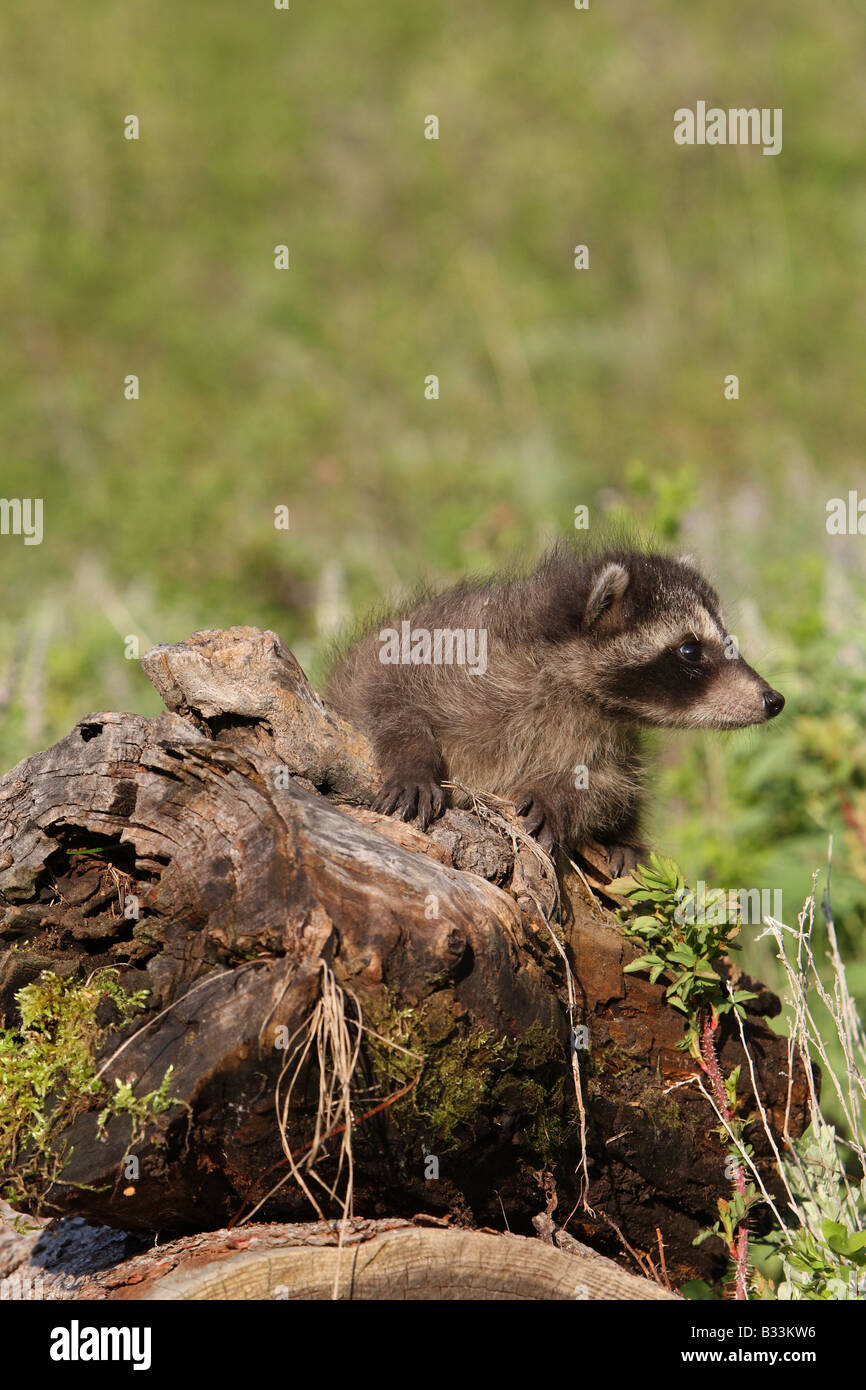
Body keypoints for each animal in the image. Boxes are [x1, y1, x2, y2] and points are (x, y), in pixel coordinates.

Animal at [324, 545, 784, 875]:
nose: (774, 699)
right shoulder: (447, 649)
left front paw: (560, 797)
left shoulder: (610, 739)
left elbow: (608, 784)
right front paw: (412, 758)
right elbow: (384, 693)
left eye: (729, 640)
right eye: (690, 649)